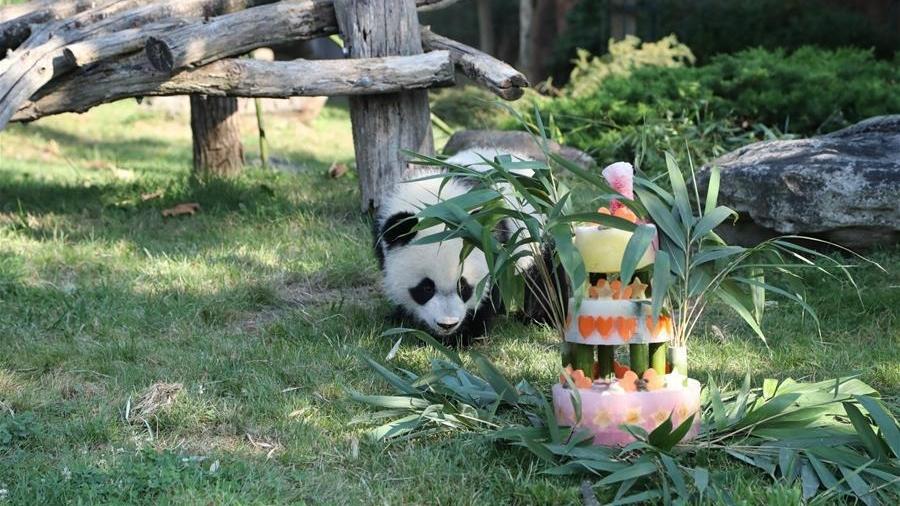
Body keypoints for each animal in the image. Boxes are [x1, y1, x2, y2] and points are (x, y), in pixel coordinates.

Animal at [373, 147, 557, 345]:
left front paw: (464, 337)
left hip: (539, 231)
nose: (447, 325)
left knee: (544, 274)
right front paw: (401, 318)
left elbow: (489, 292)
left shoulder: (493, 242)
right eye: (426, 287)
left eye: (463, 286)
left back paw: (540, 318)